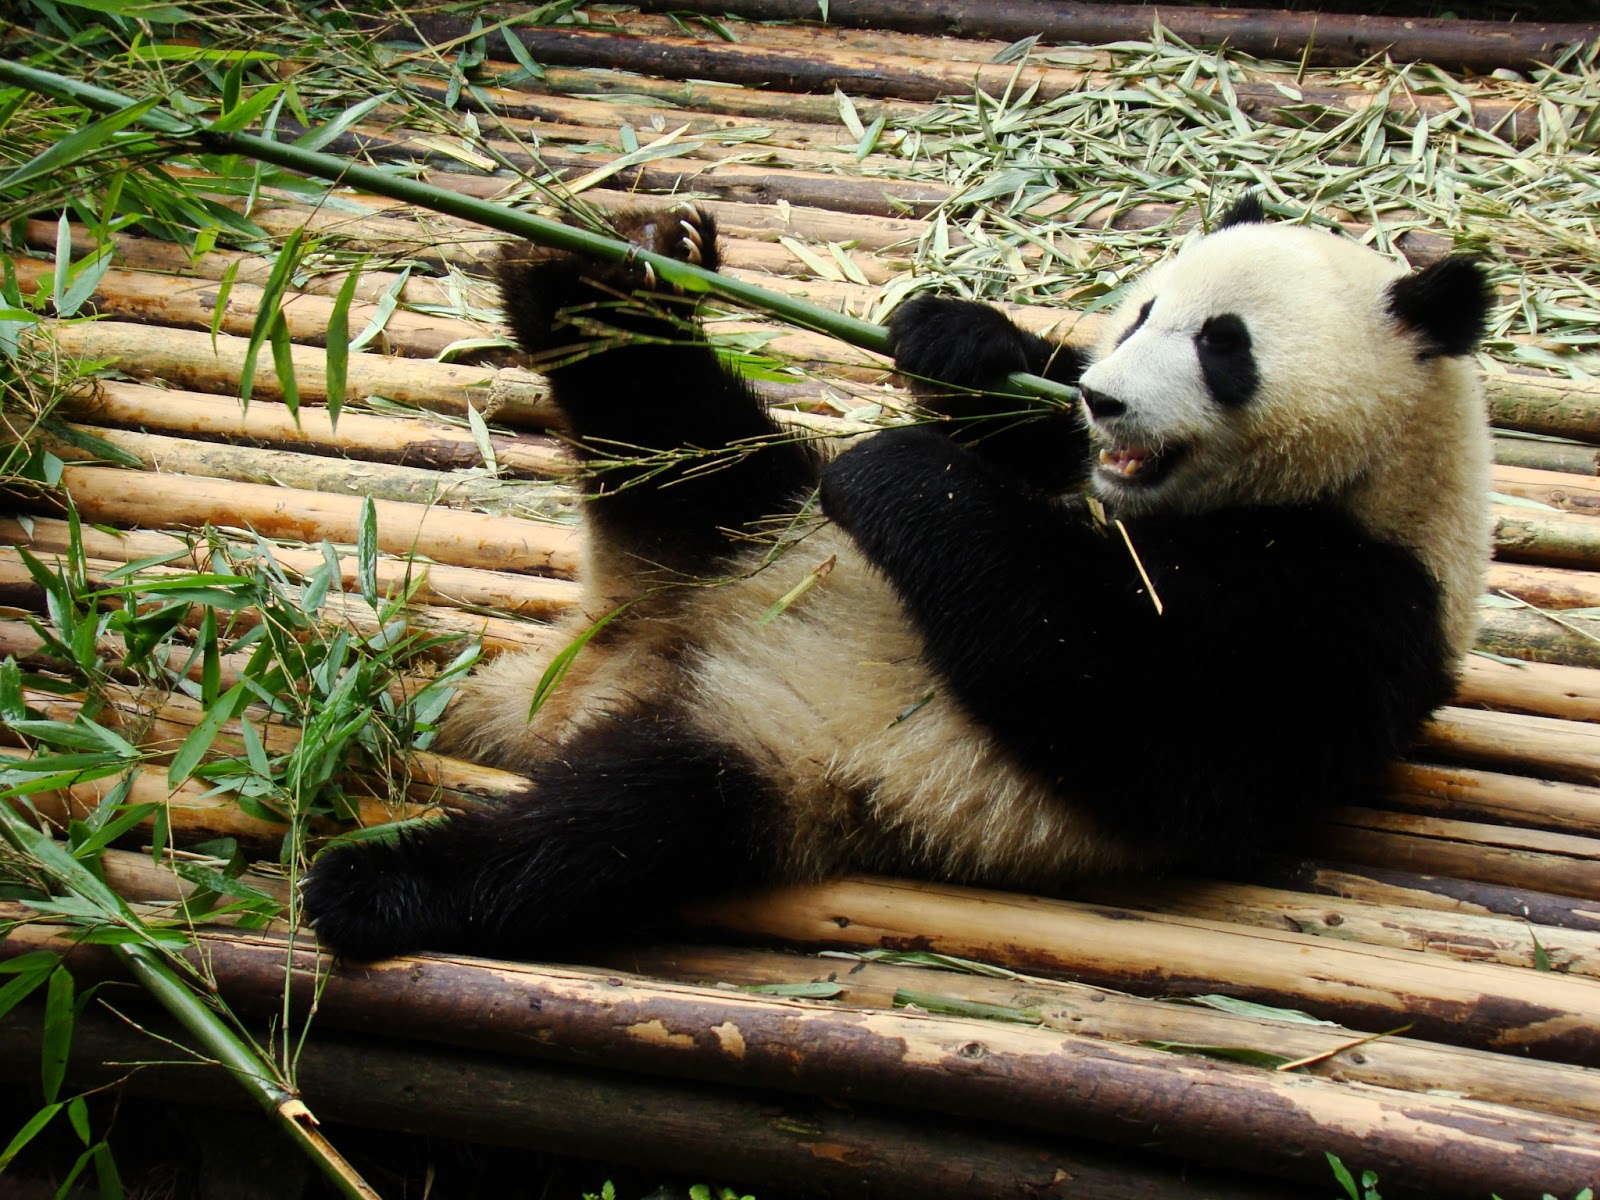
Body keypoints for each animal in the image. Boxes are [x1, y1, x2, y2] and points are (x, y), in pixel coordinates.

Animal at [301, 195, 1493, 962]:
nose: (1109, 403)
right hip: (751, 521)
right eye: (1144, 312)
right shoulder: (1072, 460)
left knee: (610, 829)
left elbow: (1134, 701)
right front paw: (959, 339)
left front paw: (905, 472)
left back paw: (378, 884)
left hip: (780, 750)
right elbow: (1020, 407)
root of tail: (616, 654)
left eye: (1224, 345)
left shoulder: (1356, 614)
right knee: (673, 427)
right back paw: (598, 280)